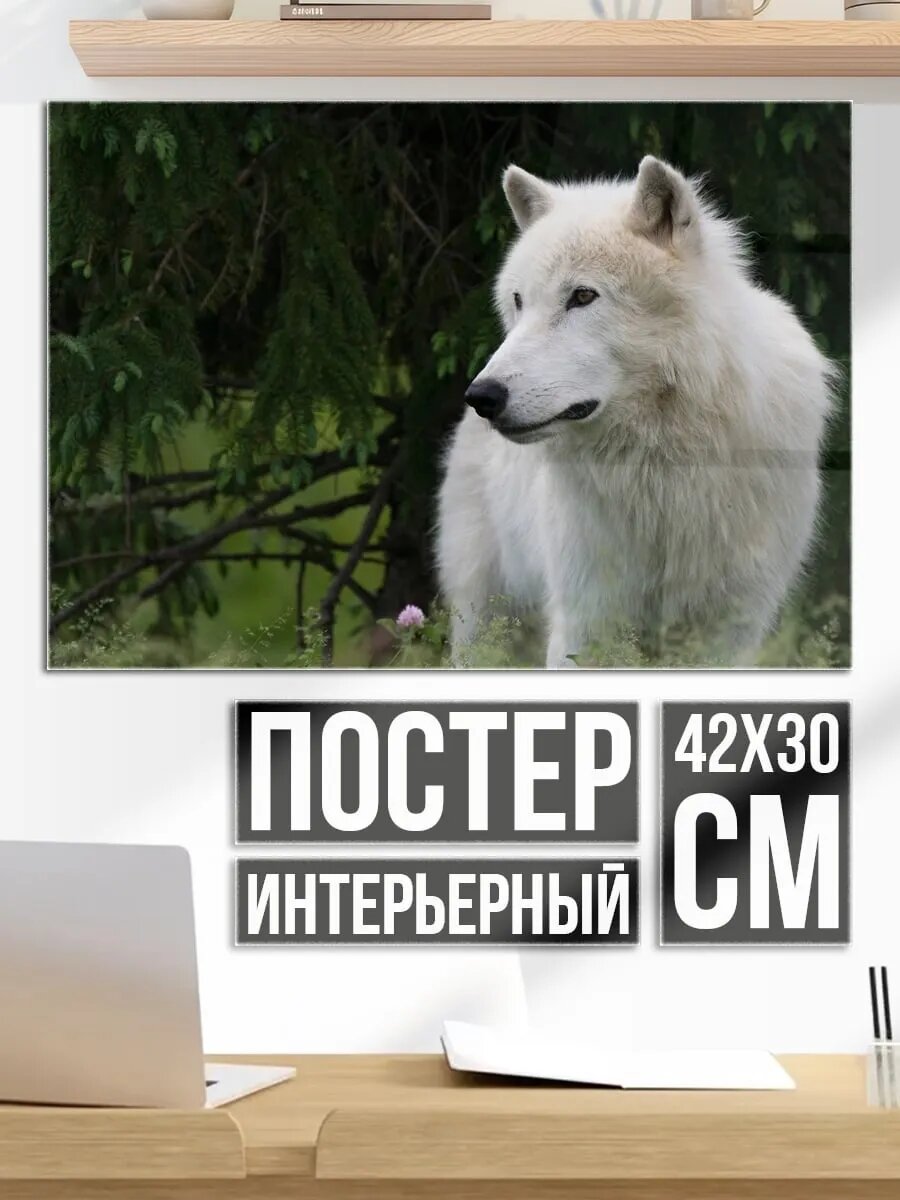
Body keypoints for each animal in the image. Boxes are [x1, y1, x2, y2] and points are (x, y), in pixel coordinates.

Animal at [437, 156, 836, 668]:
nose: (483, 395)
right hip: (484, 622)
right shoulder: (588, 619)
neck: (662, 464)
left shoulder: (727, 631)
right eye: (519, 301)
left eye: (582, 296)